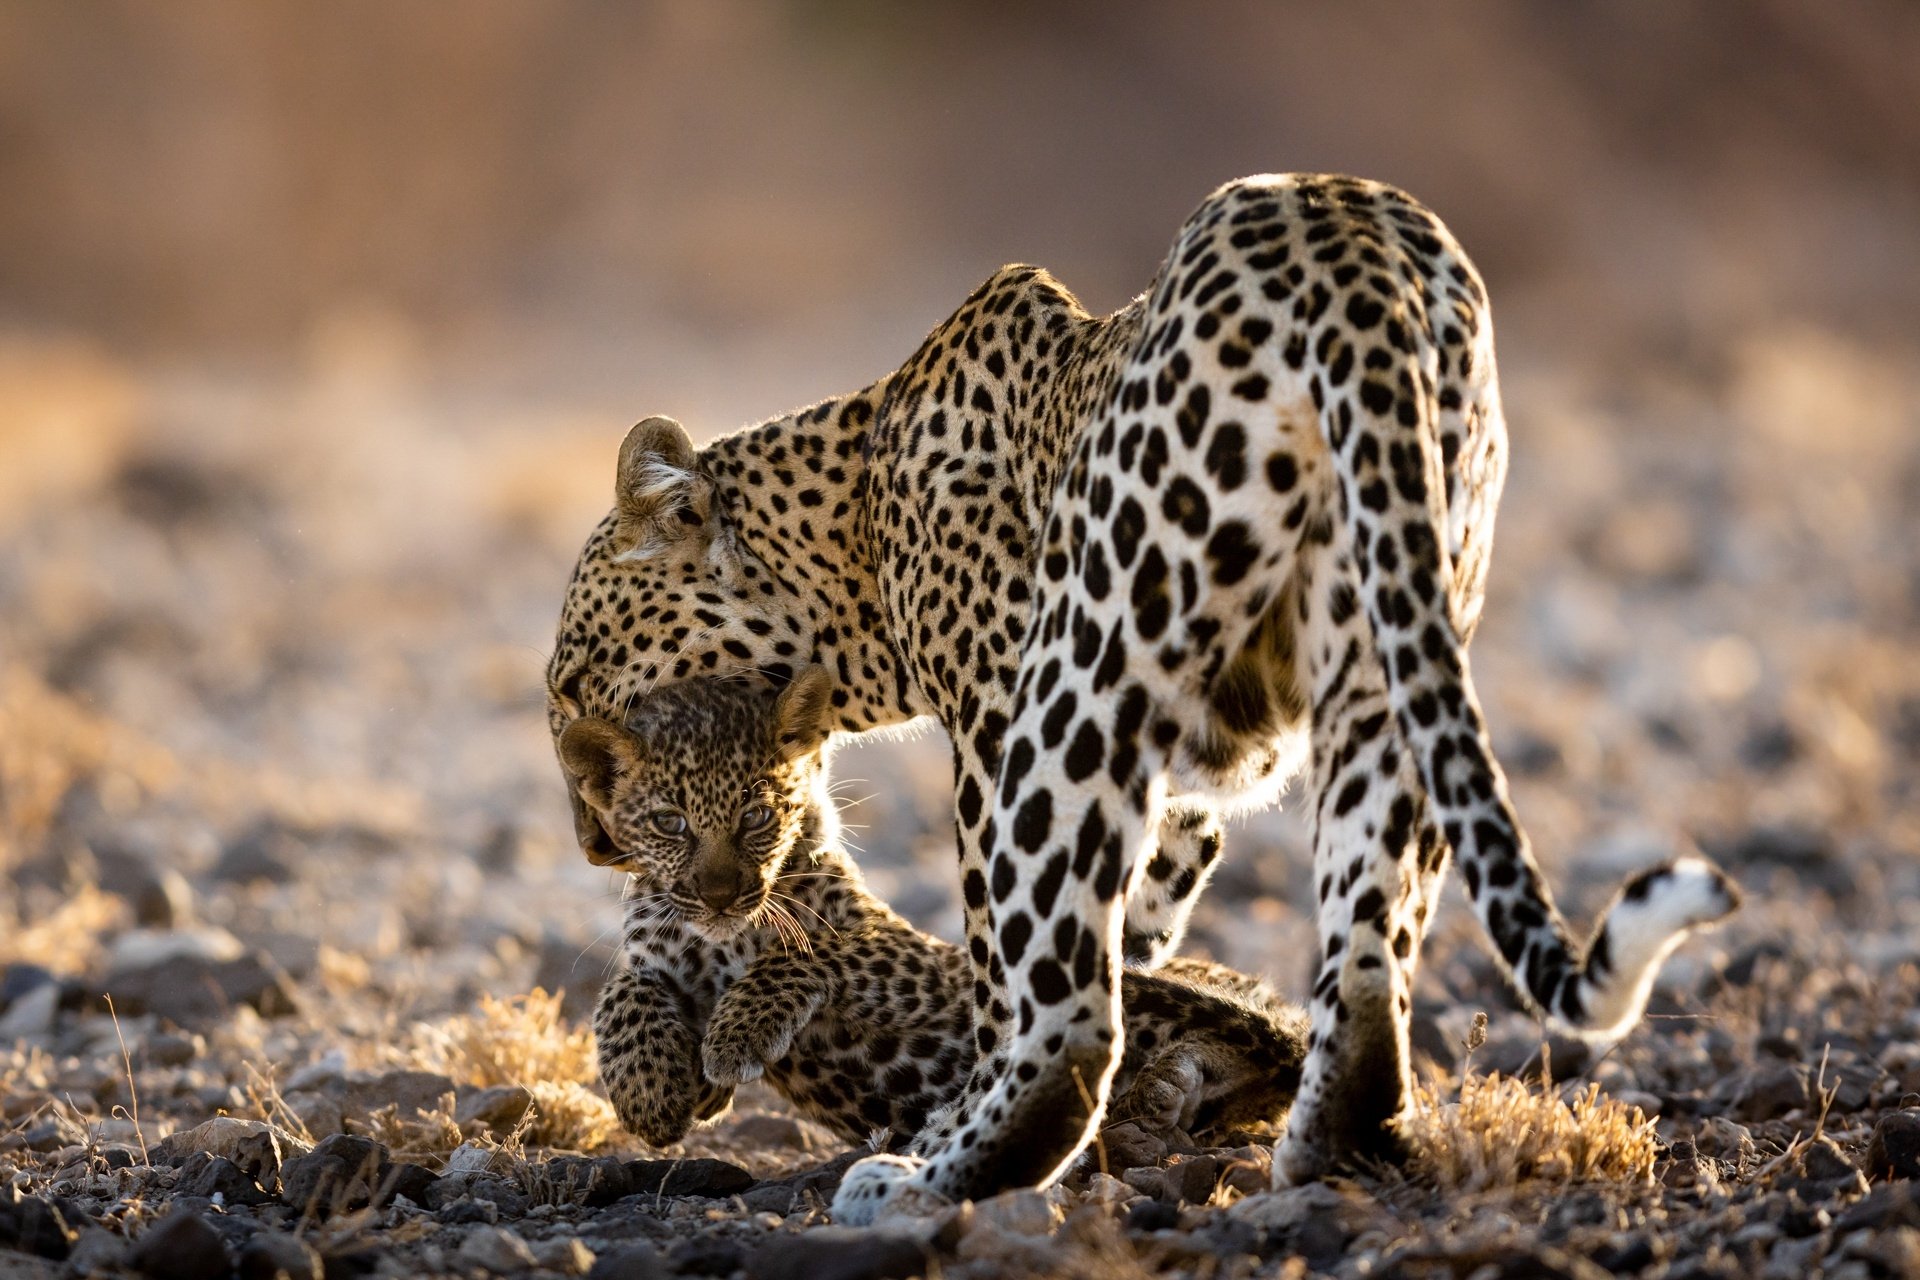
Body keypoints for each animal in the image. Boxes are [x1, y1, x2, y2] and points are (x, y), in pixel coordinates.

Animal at [563, 665, 1308, 1150]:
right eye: (670, 822)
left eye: (755, 816)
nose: (719, 895)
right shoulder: (655, 951)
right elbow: (620, 989)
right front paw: (651, 1092)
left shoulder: (905, 960)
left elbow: (812, 951)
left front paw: (732, 1038)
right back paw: (1163, 1091)